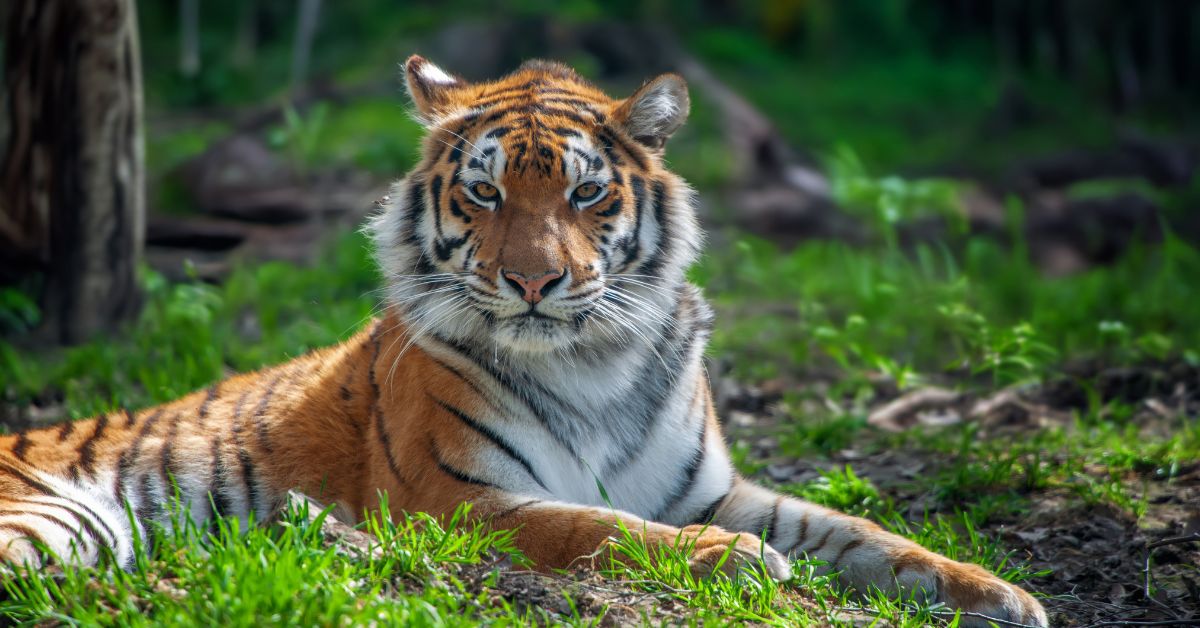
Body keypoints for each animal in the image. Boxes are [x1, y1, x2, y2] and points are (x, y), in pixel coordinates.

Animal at [0, 56, 1047, 626]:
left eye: (585, 192)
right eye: (485, 192)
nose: (535, 282)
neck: (593, 362)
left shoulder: (709, 486)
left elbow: (862, 534)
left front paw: (1000, 594)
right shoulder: (455, 499)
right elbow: (596, 528)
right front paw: (732, 559)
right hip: (50, 525)